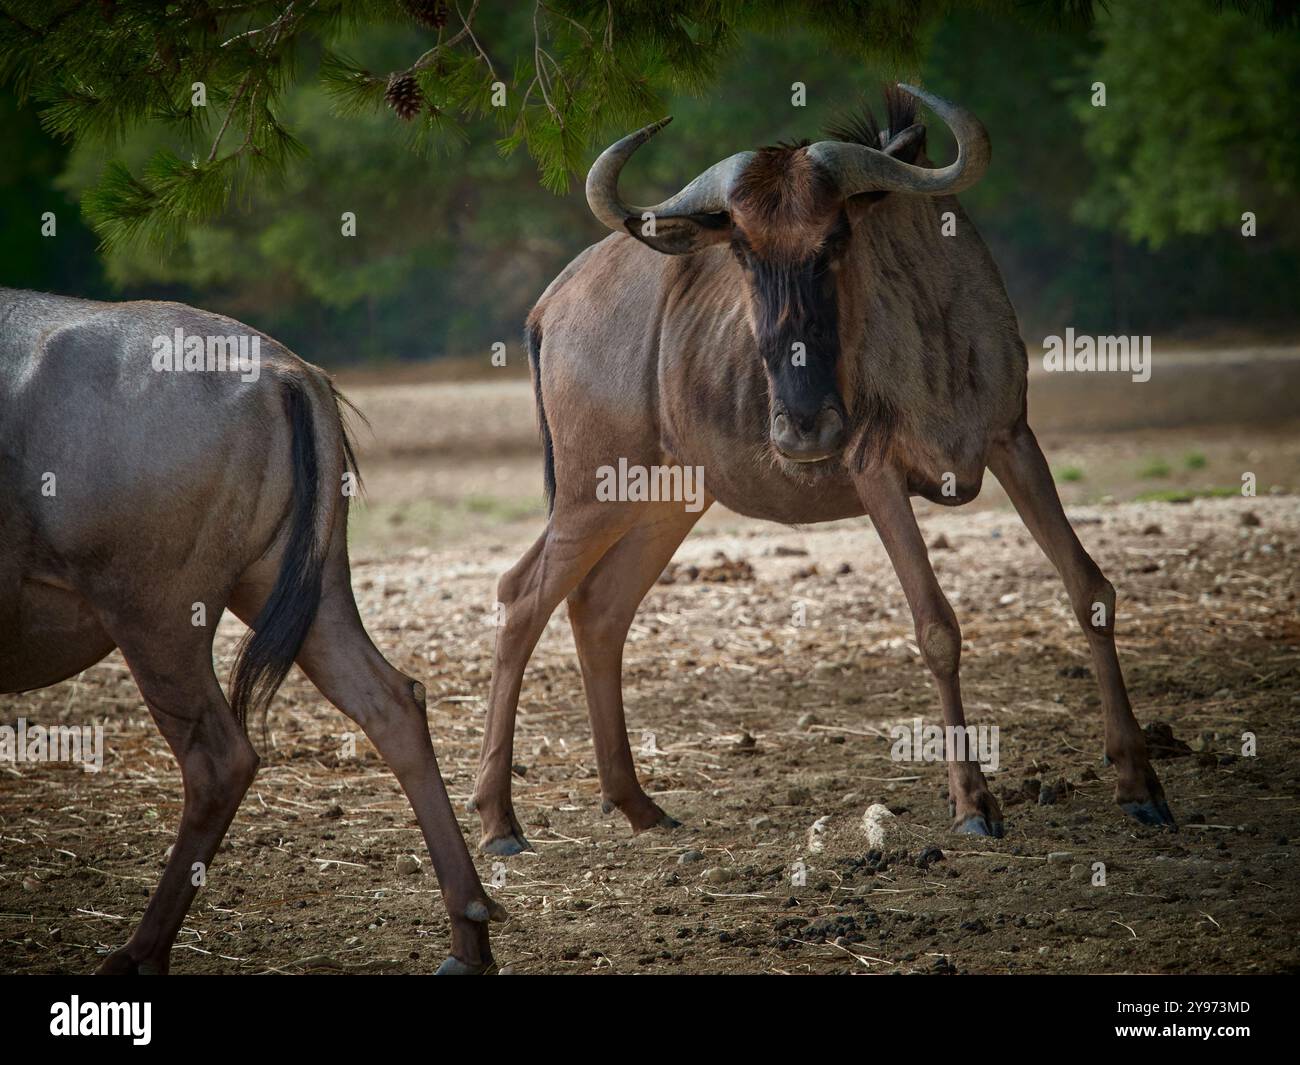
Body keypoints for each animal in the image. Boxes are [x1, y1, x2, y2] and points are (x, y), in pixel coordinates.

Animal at [0, 289, 501, 973]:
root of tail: (284, 373)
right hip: (309, 592)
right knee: (391, 703)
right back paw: (469, 934)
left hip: (154, 619)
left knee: (219, 760)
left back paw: (140, 953)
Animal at [473, 84, 1175, 856]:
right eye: (742, 251)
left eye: (835, 240)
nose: (801, 427)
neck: (927, 326)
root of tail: (550, 306)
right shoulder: (877, 474)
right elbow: (936, 626)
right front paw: (972, 802)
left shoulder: (1014, 440)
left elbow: (1090, 589)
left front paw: (1141, 784)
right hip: (591, 494)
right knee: (520, 596)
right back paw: (499, 821)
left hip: (660, 502)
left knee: (599, 608)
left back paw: (637, 804)